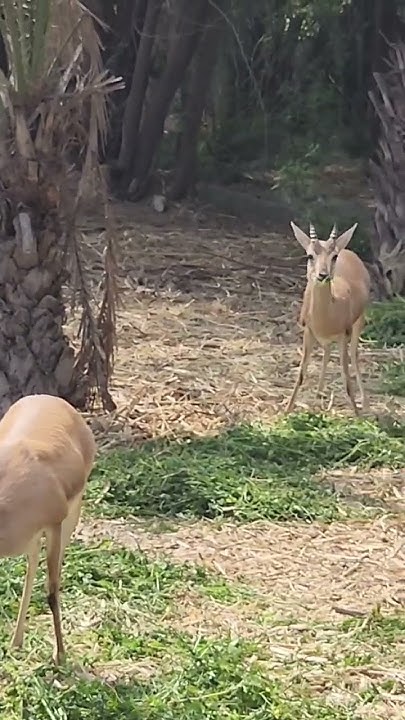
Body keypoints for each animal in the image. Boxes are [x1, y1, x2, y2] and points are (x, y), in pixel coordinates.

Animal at [0, 394, 96, 664]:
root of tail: (48, 398)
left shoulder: (54, 525)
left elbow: (51, 591)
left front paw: (60, 655)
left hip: (70, 518)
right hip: (35, 538)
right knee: (32, 567)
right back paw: (16, 642)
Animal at [286, 222, 371, 415]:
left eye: (334, 256)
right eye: (310, 255)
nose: (323, 275)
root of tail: (348, 249)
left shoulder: (343, 336)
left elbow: (346, 378)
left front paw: (357, 416)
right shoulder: (308, 332)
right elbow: (301, 374)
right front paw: (286, 411)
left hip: (358, 322)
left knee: (354, 355)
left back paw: (364, 402)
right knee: (327, 351)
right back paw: (318, 393)